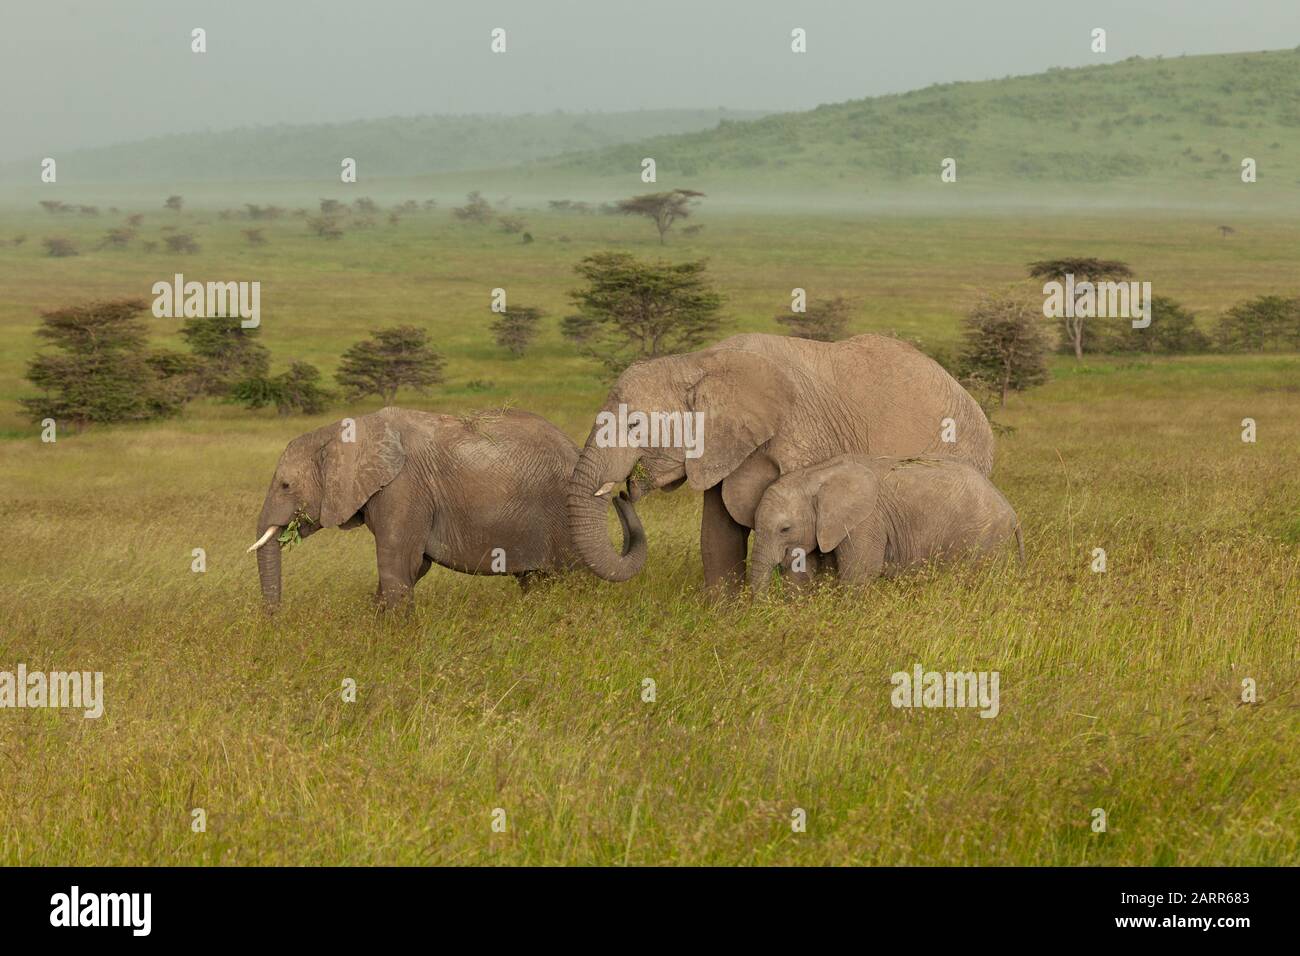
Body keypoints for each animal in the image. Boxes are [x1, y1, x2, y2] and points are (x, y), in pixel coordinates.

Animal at [249, 406, 644, 609]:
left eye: (285, 486)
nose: (275, 621)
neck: (343, 430)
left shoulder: (403, 489)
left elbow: (399, 564)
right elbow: (414, 566)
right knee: (537, 580)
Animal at [566, 333, 994, 592]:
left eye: (635, 424)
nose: (622, 492)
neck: (700, 362)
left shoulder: (804, 437)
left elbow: (800, 541)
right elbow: (717, 536)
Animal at [748, 455, 1023, 596]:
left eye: (785, 529)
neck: (816, 475)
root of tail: (1011, 512)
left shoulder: (865, 522)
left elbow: (857, 575)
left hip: (987, 537)